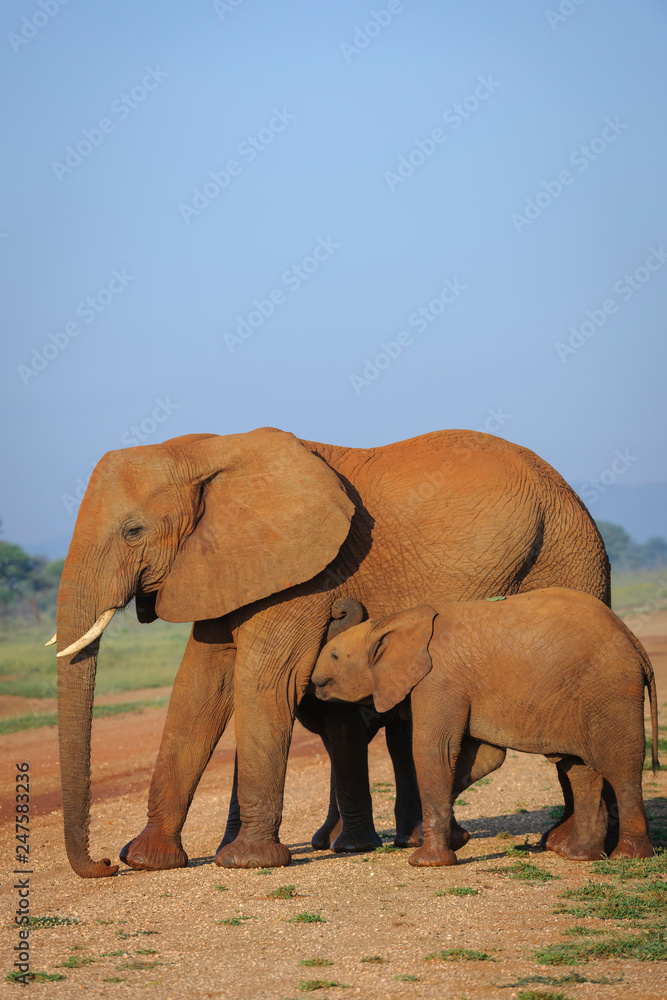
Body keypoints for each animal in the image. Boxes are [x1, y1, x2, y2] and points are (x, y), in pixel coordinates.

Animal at [51, 426, 610, 877]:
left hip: (566, 553)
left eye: (133, 531)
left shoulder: (306, 572)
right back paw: (559, 842)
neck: (205, 450)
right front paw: (148, 860)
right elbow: (201, 684)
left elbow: (263, 680)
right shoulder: (218, 562)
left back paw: (577, 847)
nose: (102, 863)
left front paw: (246, 862)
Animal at [312, 588, 659, 865]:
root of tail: (635, 642)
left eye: (335, 655)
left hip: (610, 690)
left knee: (621, 767)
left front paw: (426, 861)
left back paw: (629, 857)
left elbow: (435, 750)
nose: (314, 683)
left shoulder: (438, 679)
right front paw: (454, 840)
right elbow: (482, 758)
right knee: (579, 768)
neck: (393, 623)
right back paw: (576, 855)